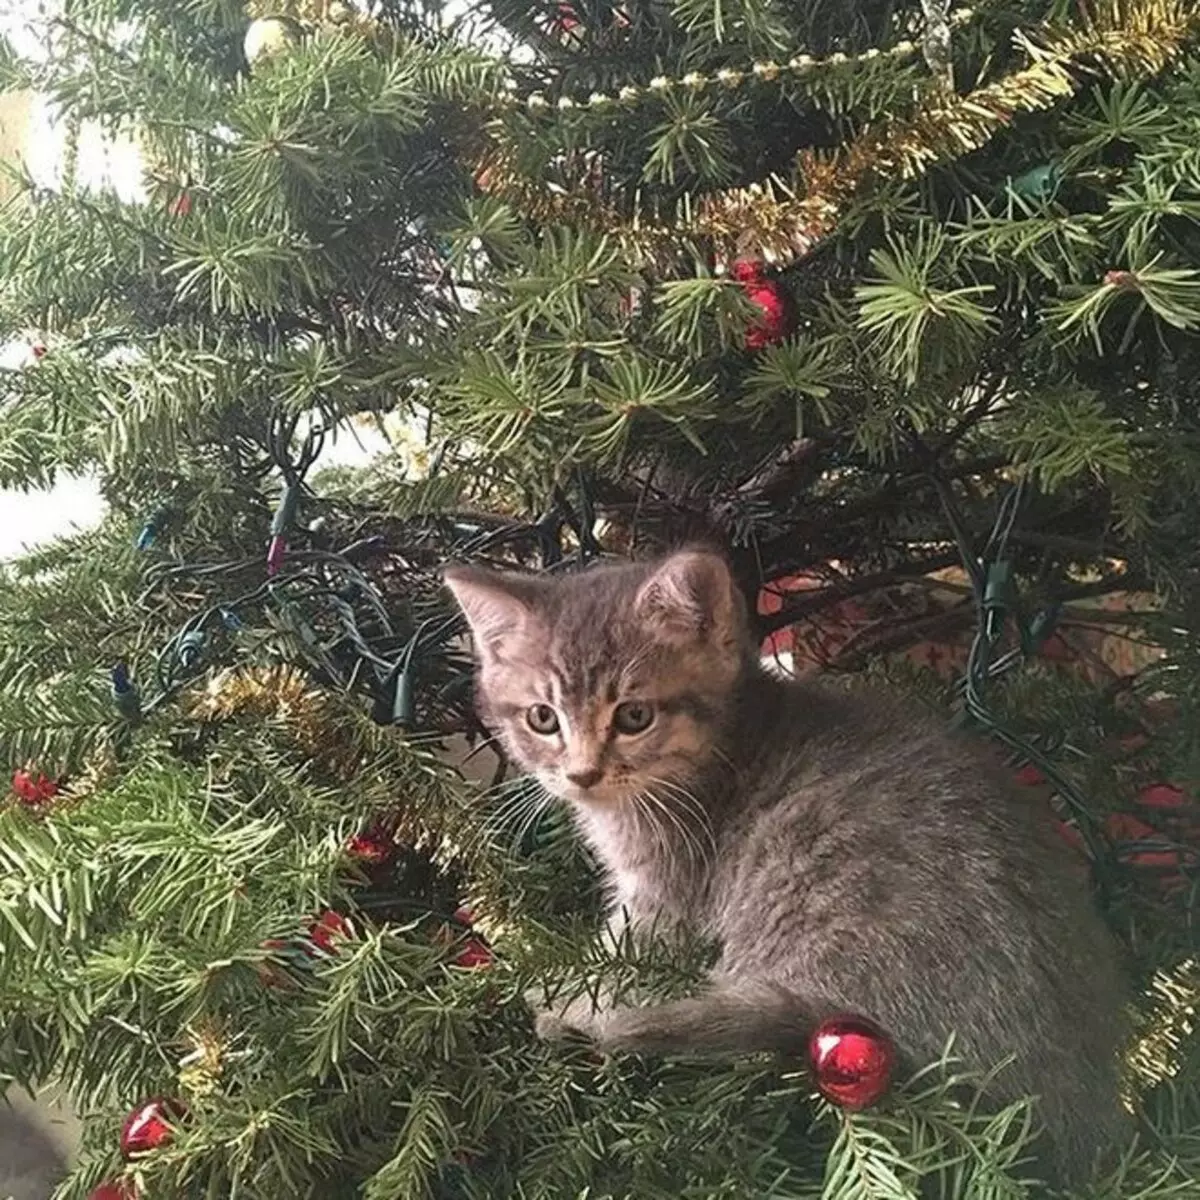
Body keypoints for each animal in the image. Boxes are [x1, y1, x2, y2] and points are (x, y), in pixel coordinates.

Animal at [446, 549, 1128, 1185]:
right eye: (543, 718)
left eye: (634, 716)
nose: (582, 773)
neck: (723, 744)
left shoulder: (666, 893)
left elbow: (621, 955)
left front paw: (563, 994)